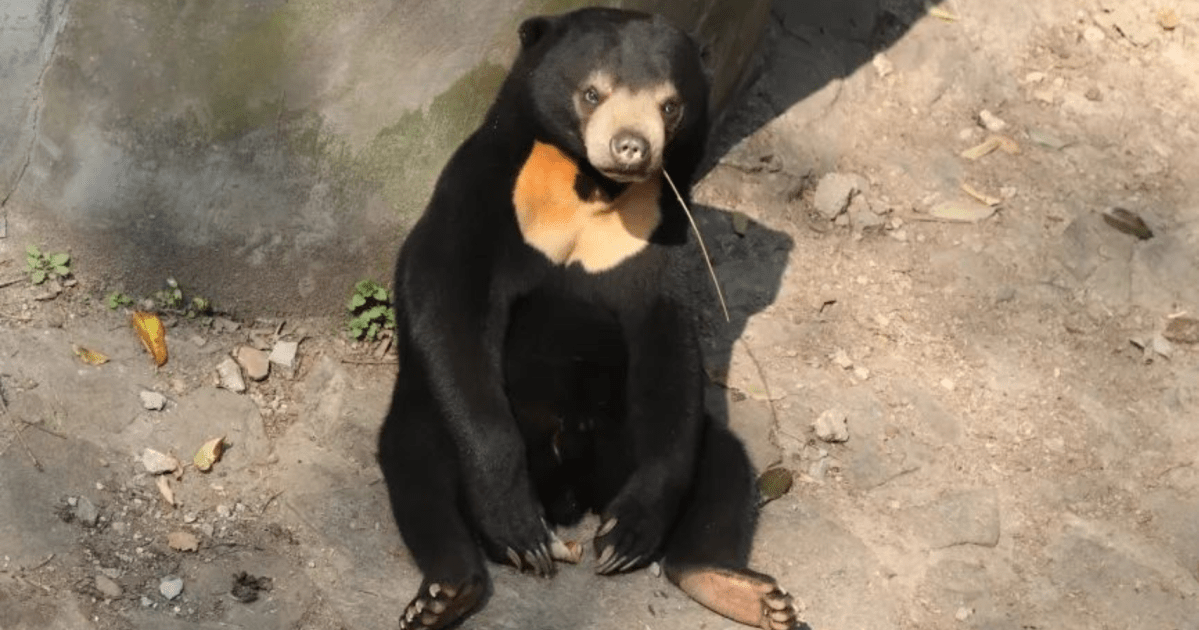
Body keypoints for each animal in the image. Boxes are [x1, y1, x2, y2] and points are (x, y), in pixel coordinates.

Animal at [377, 8, 801, 630]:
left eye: (670, 105)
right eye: (592, 93)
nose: (632, 148)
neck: (589, 187)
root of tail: (571, 492)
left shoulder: (660, 231)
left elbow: (668, 346)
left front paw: (626, 536)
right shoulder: (481, 194)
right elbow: (447, 301)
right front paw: (518, 527)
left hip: (624, 436)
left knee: (721, 463)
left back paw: (742, 589)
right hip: (438, 418)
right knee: (416, 457)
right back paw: (448, 590)